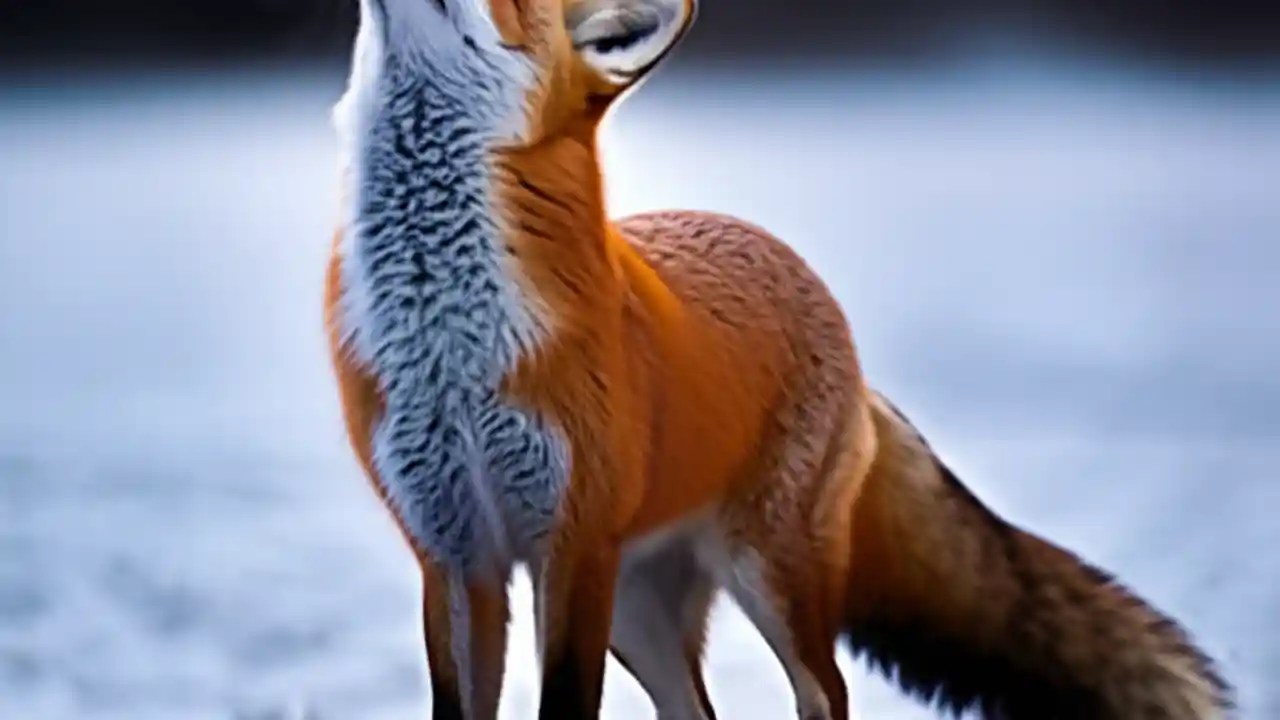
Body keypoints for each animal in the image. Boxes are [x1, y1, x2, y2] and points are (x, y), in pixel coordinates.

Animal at [322, 0, 1232, 718]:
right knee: (697, 712)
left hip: (768, 578)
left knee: (824, 692)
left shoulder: (570, 547)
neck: (449, 341)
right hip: (639, 613)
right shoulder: (454, 554)